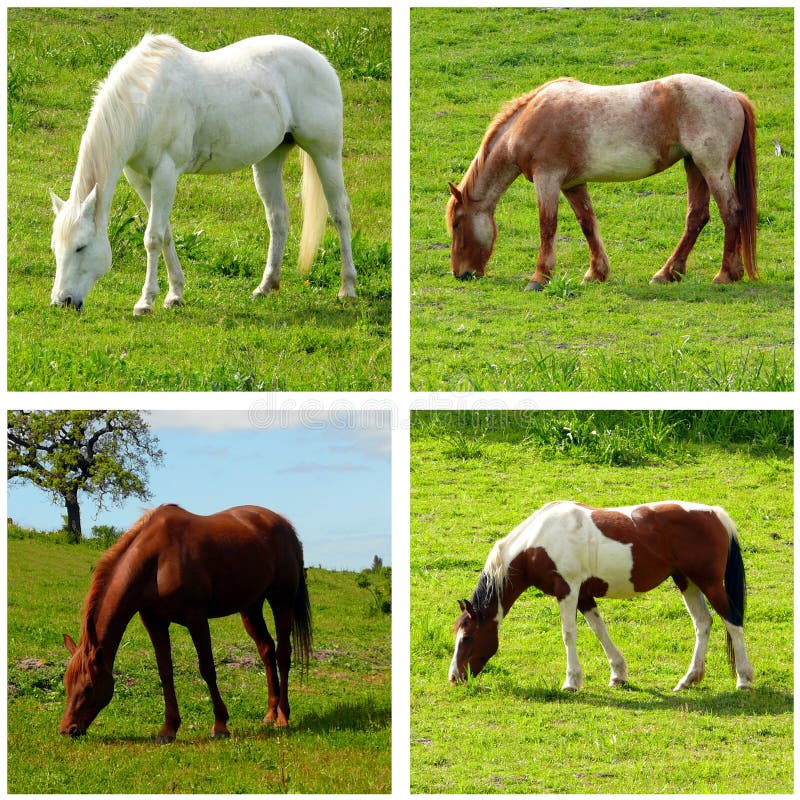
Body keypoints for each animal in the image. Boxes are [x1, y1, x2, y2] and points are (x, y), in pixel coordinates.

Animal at [50, 33, 356, 314]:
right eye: (56, 248)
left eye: (81, 247)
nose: (62, 301)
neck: (147, 102)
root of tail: (321, 61)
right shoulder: (141, 180)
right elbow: (166, 234)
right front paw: (174, 294)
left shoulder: (165, 174)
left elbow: (153, 237)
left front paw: (145, 301)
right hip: (269, 160)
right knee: (278, 218)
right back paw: (266, 286)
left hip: (325, 155)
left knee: (339, 213)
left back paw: (347, 288)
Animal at [60, 504, 312, 742]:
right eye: (66, 683)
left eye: (89, 686)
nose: (67, 729)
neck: (157, 561)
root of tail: (285, 526)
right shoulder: (155, 622)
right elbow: (165, 672)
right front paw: (168, 729)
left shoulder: (196, 619)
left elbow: (207, 668)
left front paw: (220, 724)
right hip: (251, 608)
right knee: (267, 651)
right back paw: (270, 714)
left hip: (281, 600)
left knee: (283, 654)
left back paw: (282, 716)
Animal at [446, 74, 757, 290]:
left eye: (457, 224)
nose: (460, 274)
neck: (529, 119)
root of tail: (733, 96)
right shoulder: (572, 184)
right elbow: (587, 224)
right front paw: (596, 273)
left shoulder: (547, 178)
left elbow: (547, 226)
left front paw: (539, 277)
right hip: (694, 166)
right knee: (697, 217)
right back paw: (668, 273)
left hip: (711, 167)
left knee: (731, 212)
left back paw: (725, 274)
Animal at [449, 500, 754, 693]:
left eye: (468, 637)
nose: (454, 677)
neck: (538, 542)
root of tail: (715, 513)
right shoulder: (584, 596)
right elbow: (599, 630)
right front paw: (618, 674)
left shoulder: (567, 590)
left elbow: (568, 634)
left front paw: (571, 682)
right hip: (687, 582)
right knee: (703, 623)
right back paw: (688, 680)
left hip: (709, 584)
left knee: (733, 622)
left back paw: (743, 679)